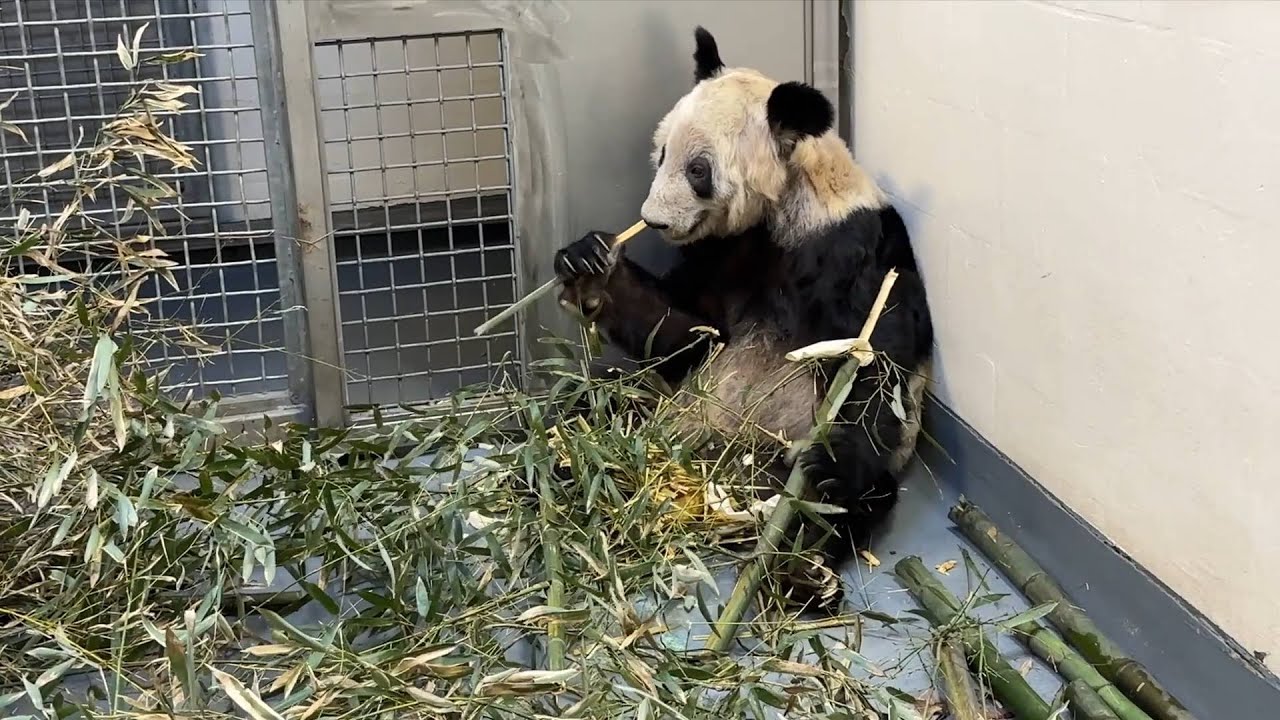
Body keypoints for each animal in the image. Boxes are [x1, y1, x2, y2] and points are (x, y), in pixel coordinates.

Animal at [553, 26, 934, 609]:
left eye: (698, 169)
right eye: (662, 153)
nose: (652, 220)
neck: (786, 208)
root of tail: (720, 473)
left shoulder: (853, 250)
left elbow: (873, 364)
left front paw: (832, 461)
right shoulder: (723, 254)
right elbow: (686, 335)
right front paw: (589, 262)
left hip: (797, 466)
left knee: (848, 499)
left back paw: (804, 569)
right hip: (663, 409)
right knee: (596, 405)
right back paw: (567, 463)